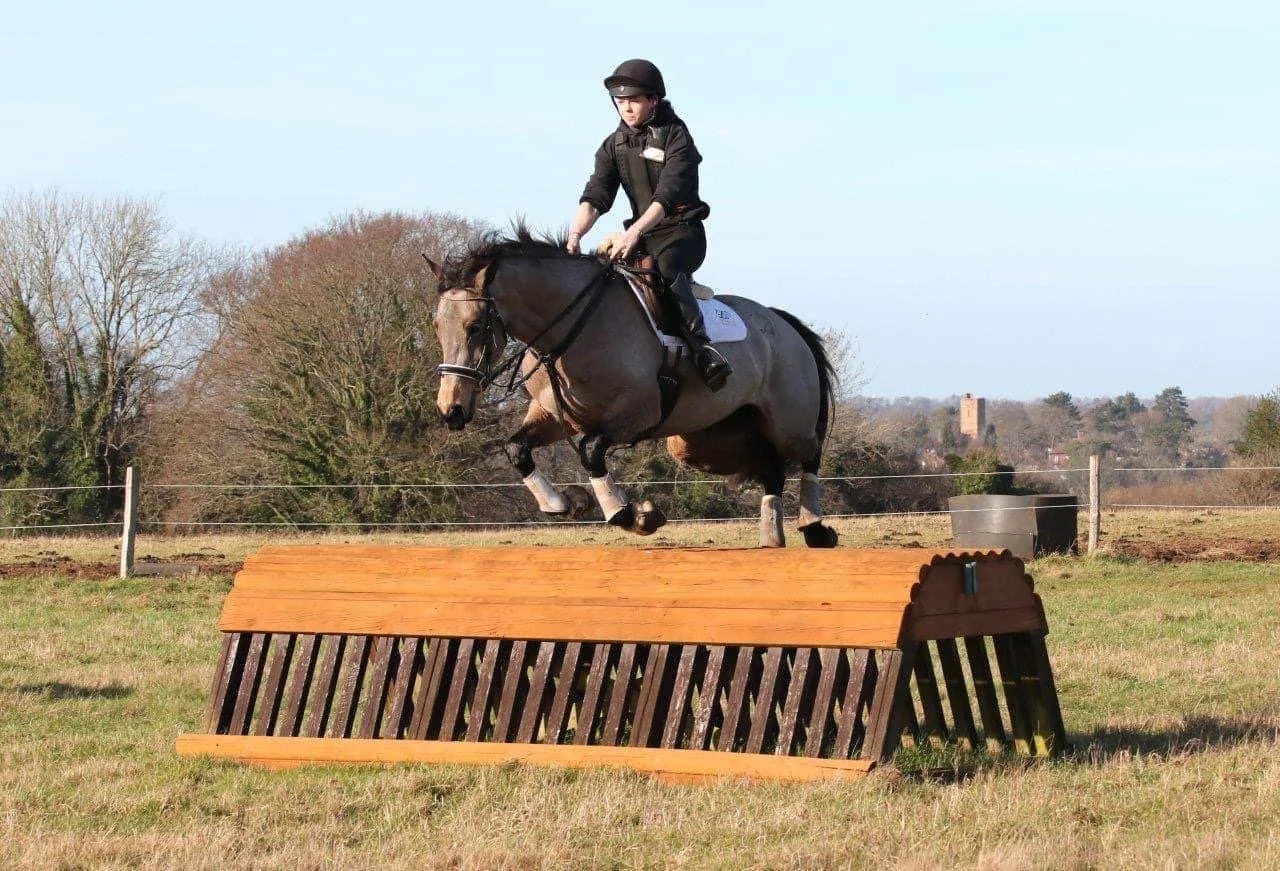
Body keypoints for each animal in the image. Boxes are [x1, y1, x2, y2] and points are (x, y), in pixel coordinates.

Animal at [426, 227, 839, 548]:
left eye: (475, 327)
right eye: (436, 326)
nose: (452, 411)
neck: (571, 330)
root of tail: (782, 322)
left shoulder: (634, 413)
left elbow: (591, 451)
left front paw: (629, 514)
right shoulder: (554, 416)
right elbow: (516, 448)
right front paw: (560, 504)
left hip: (788, 424)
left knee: (808, 454)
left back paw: (814, 529)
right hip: (702, 443)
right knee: (770, 468)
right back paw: (772, 534)